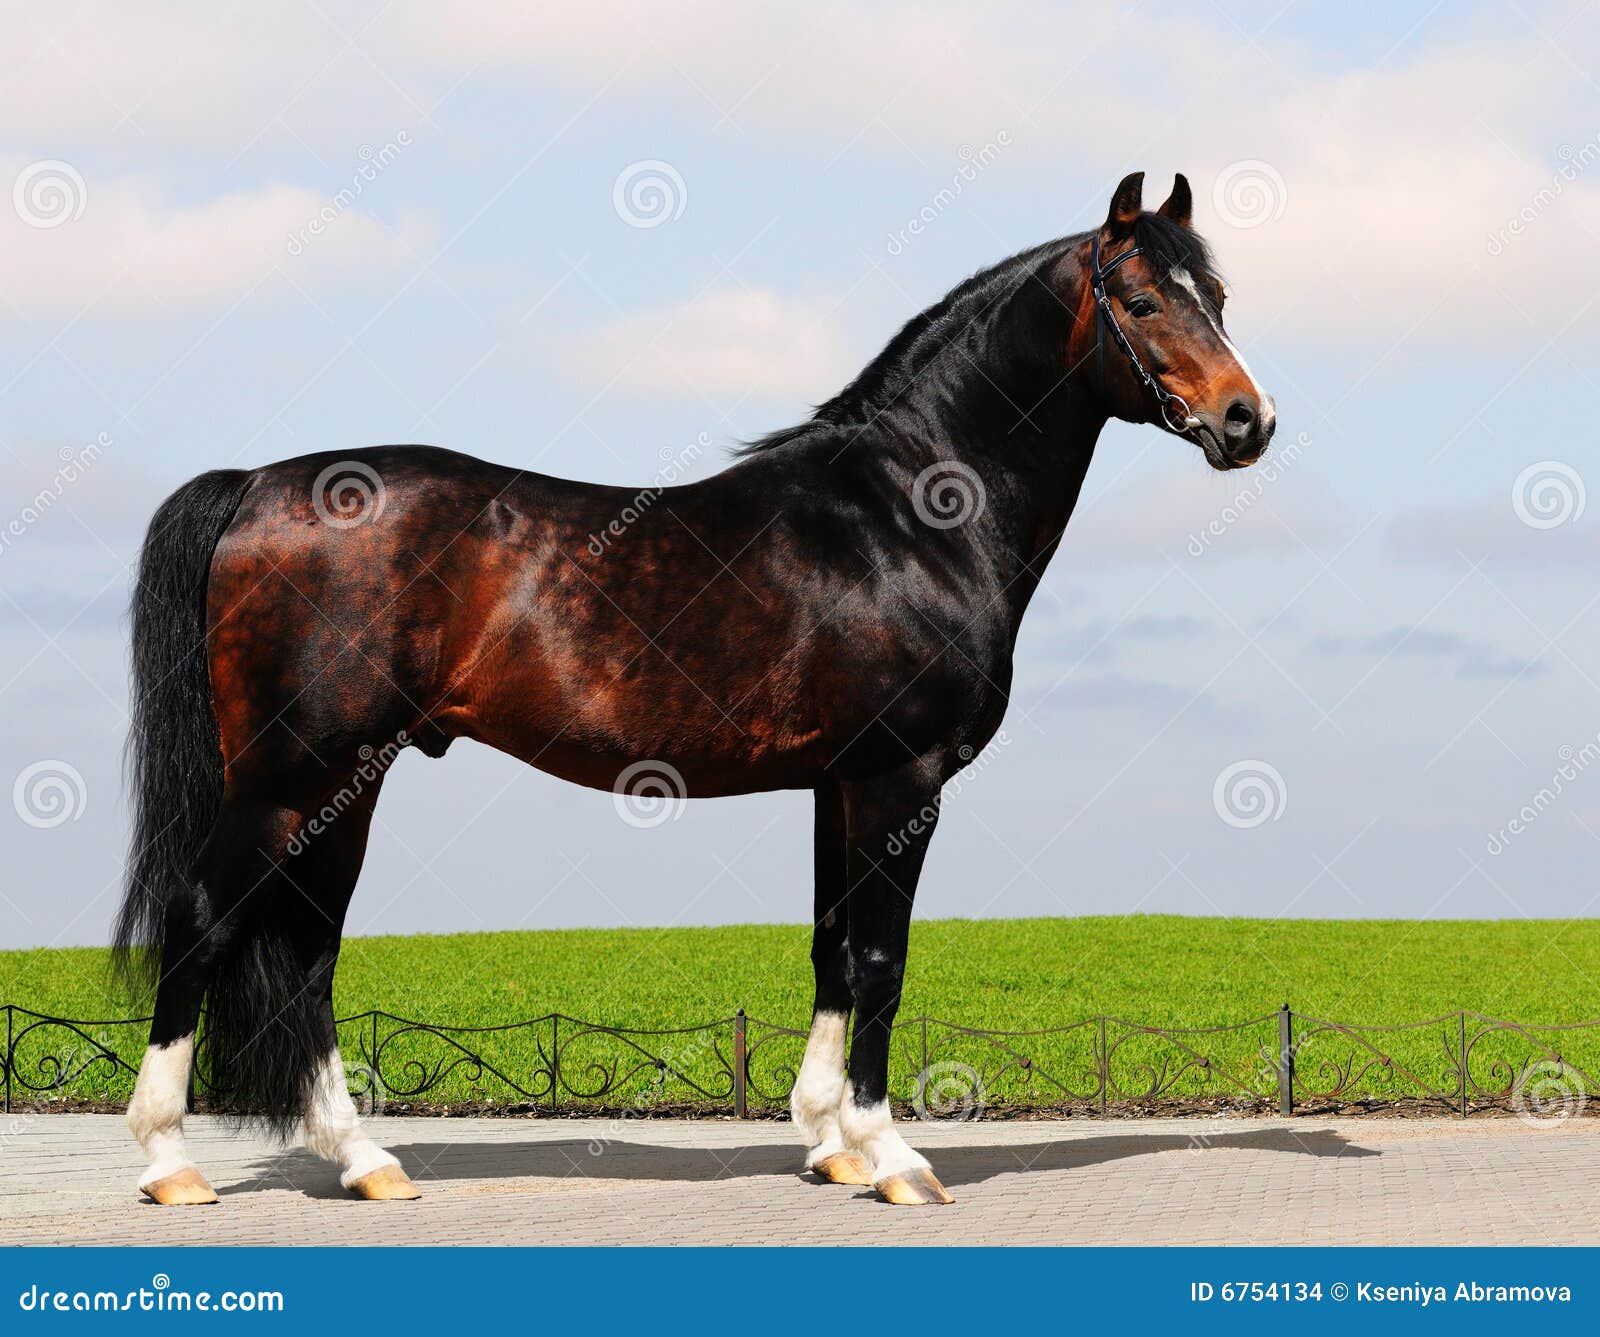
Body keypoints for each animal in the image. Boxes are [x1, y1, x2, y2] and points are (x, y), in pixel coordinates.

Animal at [114, 171, 1273, 1208]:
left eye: (1217, 296)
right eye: (1140, 299)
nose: (1246, 420)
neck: (904, 515)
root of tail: (255, 484)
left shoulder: (838, 784)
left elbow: (829, 948)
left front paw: (829, 1144)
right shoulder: (901, 778)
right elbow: (880, 957)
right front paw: (894, 1157)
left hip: (344, 784)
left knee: (308, 953)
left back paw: (366, 1162)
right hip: (287, 778)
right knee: (203, 922)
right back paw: (172, 1163)